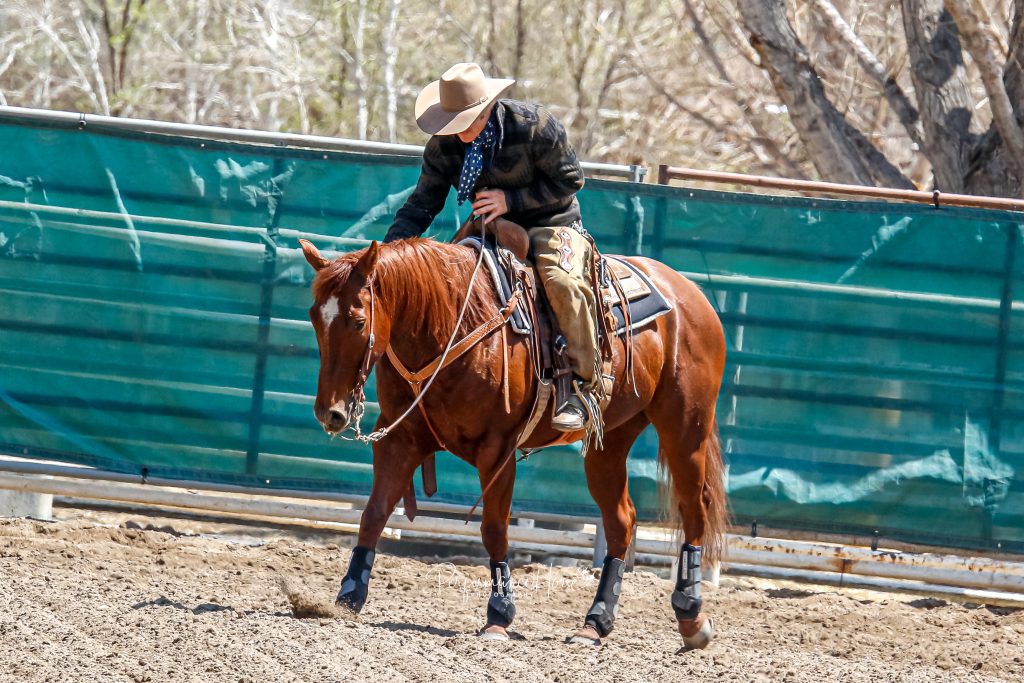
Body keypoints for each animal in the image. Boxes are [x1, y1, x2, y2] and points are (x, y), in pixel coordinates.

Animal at [299, 233, 727, 650]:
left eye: (358, 322)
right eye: (315, 317)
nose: (329, 412)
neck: (450, 324)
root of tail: (689, 292)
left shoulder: (498, 450)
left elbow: (494, 528)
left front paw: (499, 614)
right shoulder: (399, 441)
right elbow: (373, 514)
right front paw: (348, 596)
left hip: (685, 426)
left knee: (695, 507)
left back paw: (691, 614)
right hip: (610, 441)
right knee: (621, 520)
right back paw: (596, 622)